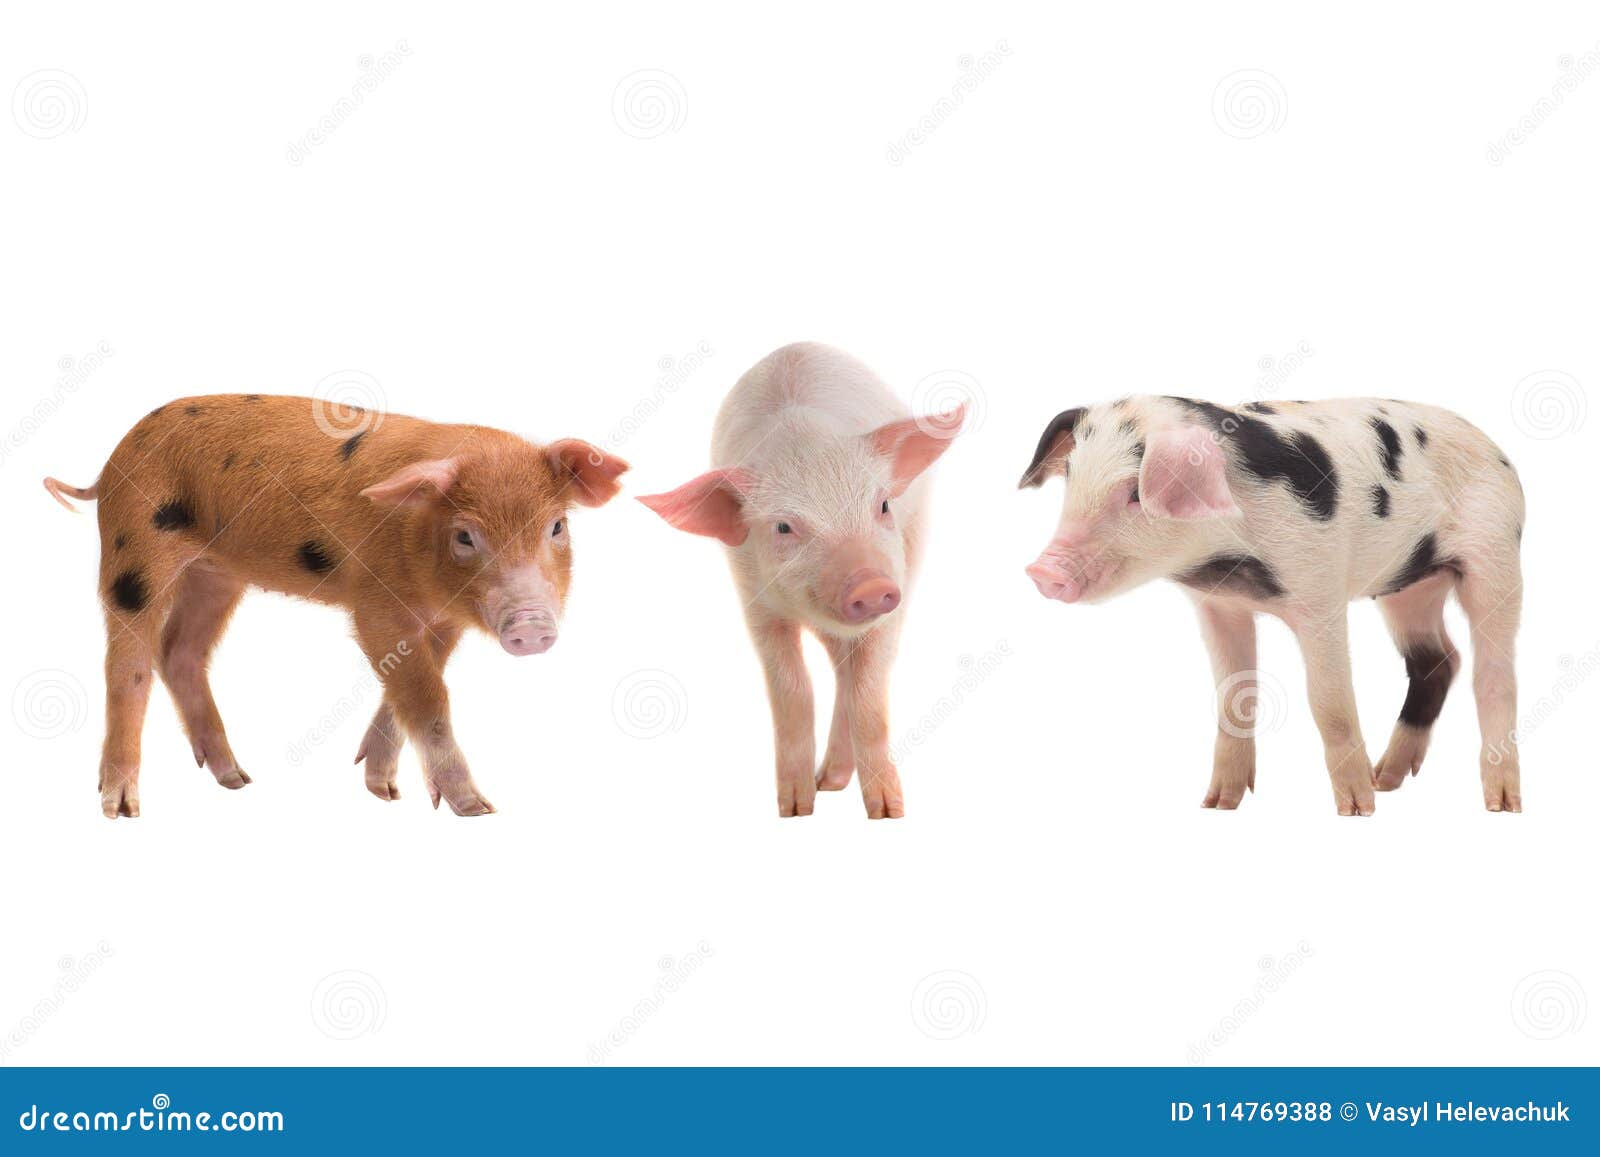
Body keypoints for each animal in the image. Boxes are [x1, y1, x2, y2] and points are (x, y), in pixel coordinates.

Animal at [44, 395, 628, 818]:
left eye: (557, 526)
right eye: (466, 536)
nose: (531, 626)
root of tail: (110, 462)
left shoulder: (441, 620)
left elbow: (415, 684)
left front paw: (383, 791)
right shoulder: (375, 606)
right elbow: (428, 694)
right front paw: (477, 809)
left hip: (216, 573)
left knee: (179, 652)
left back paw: (237, 780)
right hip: (132, 552)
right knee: (128, 665)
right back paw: (122, 809)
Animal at [638, 342, 964, 818]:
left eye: (883, 505)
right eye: (783, 527)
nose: (869, 584)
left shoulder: (895, 588)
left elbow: (868, 693)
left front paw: (889, 812)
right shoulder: (753, 598)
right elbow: (791, 689)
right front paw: (796, 809)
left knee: (852, 676)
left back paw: (834, 782)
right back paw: (826, 784)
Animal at [1019, 396, 1524, 816]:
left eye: (1135, 492)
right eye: (1072, 479)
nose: (1043, 571)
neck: (1223, 558)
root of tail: (1497, 451)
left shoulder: (1320, 593)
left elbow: (1330, 701)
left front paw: (1357, 810)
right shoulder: (1218, 606)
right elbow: (1233, 698)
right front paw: (1218, 805)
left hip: (1496, 556)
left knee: (1493, 675)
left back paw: (1499, 803)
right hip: (1407, 589)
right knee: (1437, 661)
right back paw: (1387, 778)